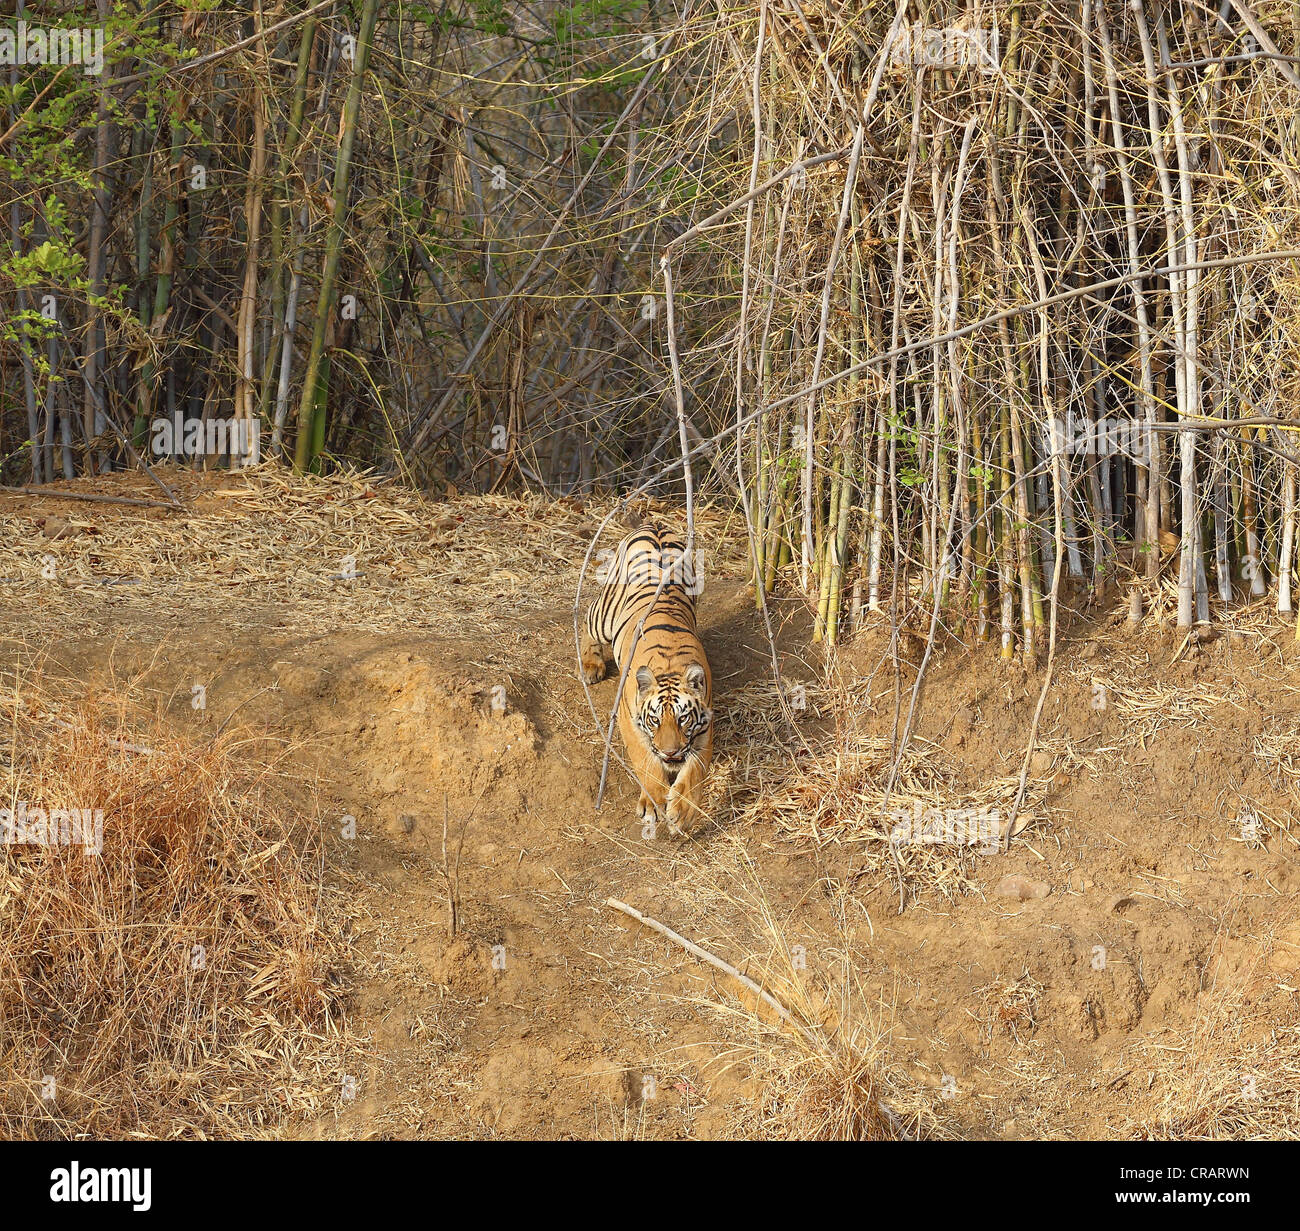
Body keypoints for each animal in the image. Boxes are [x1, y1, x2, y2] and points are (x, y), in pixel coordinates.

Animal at [581, 522, 713, 838]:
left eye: (683, 719)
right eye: (654, 720)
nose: (671, 752)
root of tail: (656, 525)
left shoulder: (705, 728)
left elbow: (695, 772)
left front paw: (682, 814)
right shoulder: (628, 721)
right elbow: (646, 762)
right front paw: (654, 803)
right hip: (604, 616)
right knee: (587, 616)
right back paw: (591, 666)